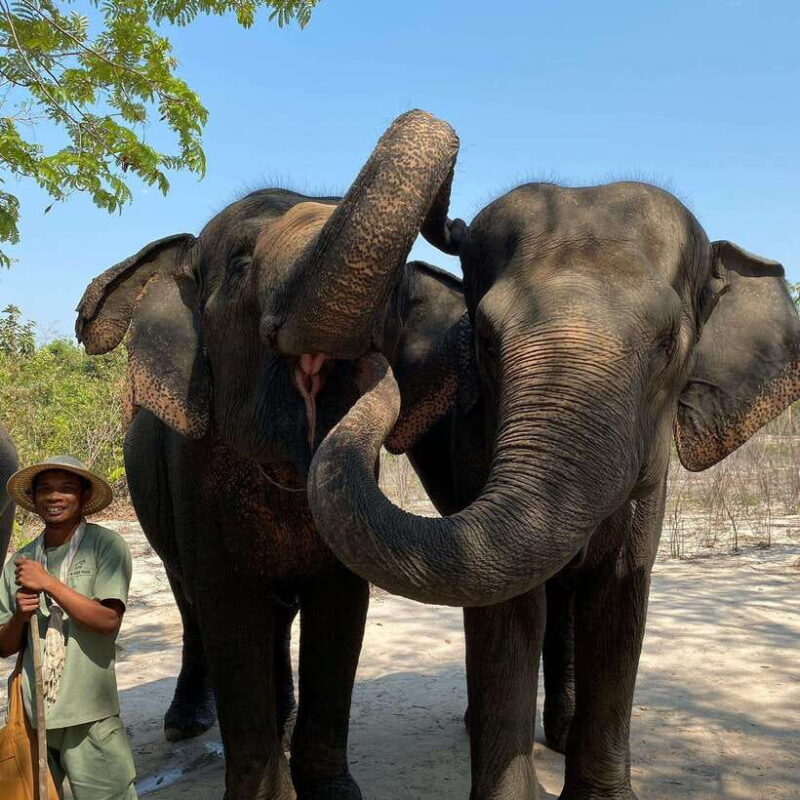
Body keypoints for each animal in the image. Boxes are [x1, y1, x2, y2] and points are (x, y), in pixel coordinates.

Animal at [74, 110, 481, 799]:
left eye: (397, 292)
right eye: (240, 264)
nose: (455, 226)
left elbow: (341, 605)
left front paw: (335, 791)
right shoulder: (191, 473)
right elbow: (229, 608)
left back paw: (283, 710)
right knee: (191, 600)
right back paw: (186, 722)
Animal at [279, 180, 800, 799]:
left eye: (669, 342)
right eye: (484, 339)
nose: (356, 364)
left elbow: (620, 595)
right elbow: (507, 606)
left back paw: (561, 734)